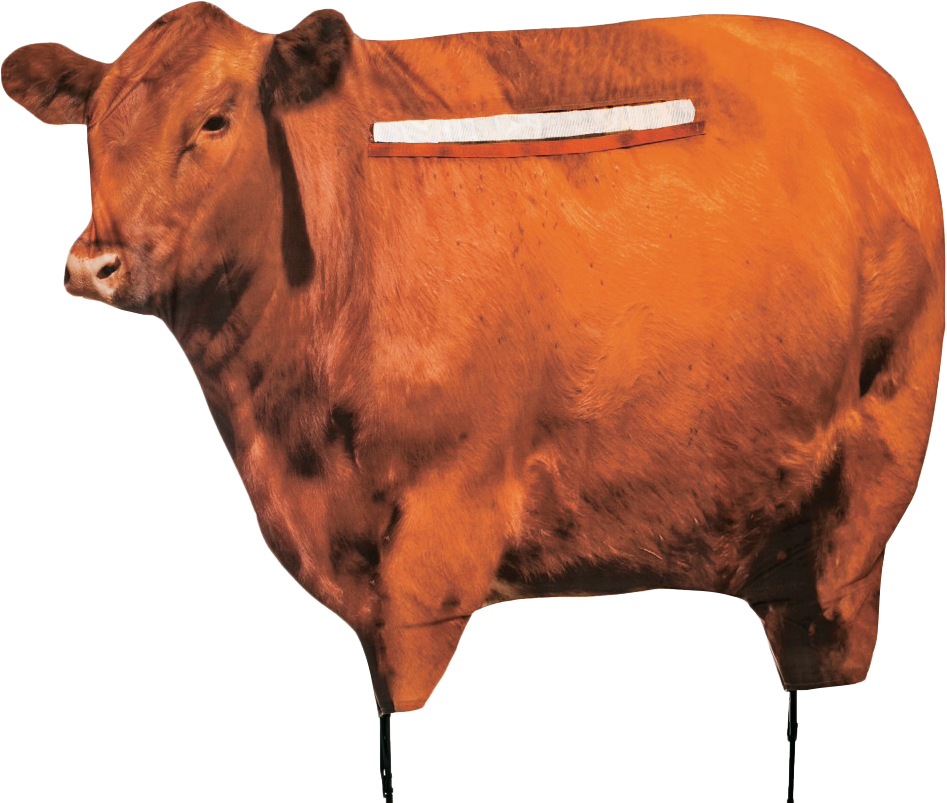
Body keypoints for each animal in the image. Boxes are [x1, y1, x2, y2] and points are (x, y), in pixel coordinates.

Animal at [3, 3, 944, 799]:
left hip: (872, 470)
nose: (95, 261)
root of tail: (874, 87)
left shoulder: (447, 517)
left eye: (214, 120)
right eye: (93, 128)